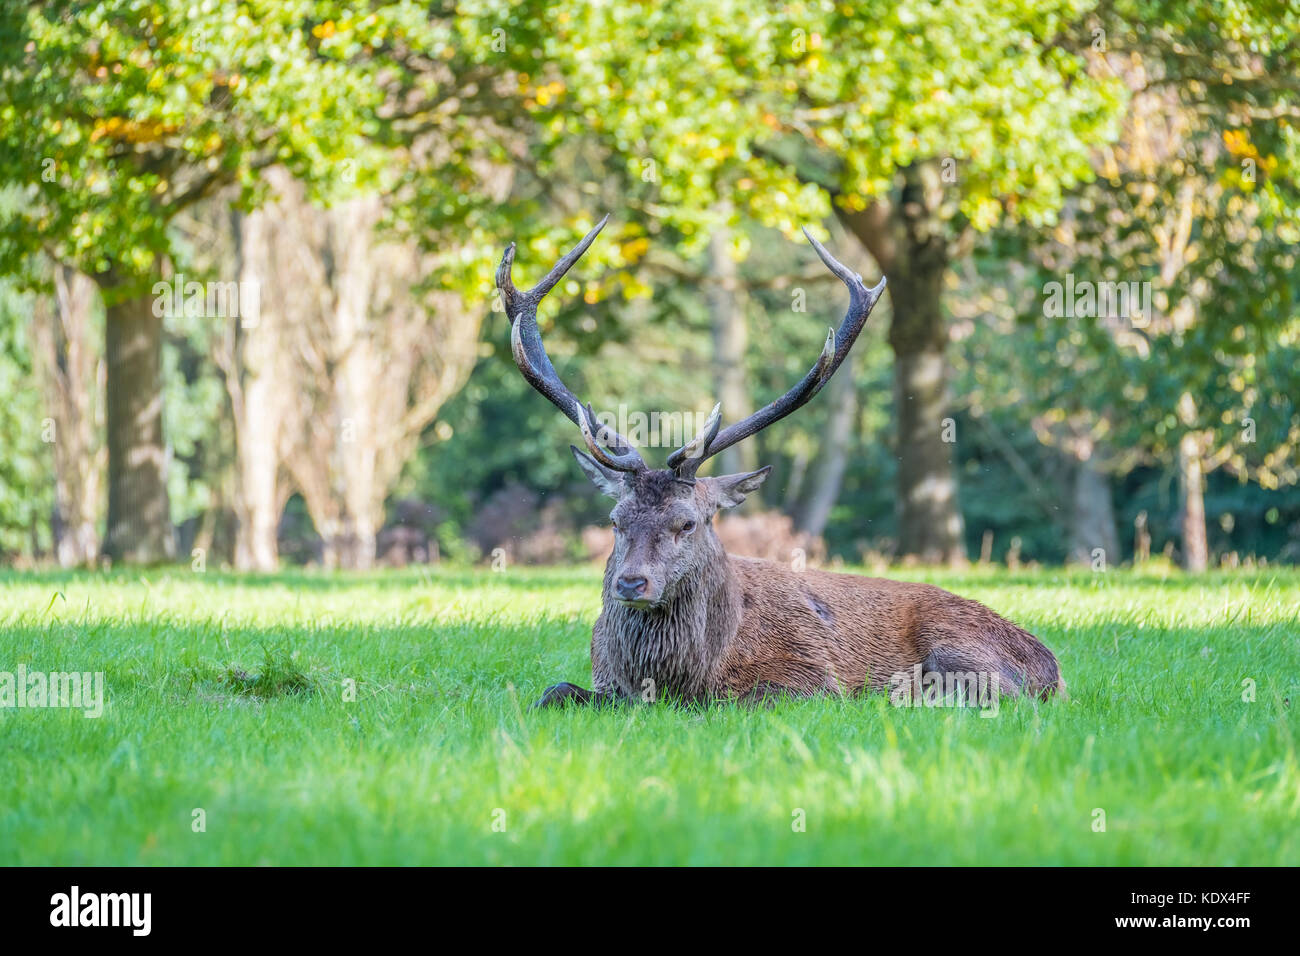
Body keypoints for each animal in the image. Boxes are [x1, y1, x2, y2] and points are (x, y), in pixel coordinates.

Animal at [497, 217, 1066, 710]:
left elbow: (744, 701)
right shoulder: (602, 681)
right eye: (615, 521)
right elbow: (554, 691)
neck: (678, 677)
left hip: (961, 652)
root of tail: (1054, 668)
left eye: (688, 522)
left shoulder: (809, 678)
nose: (631, 584)